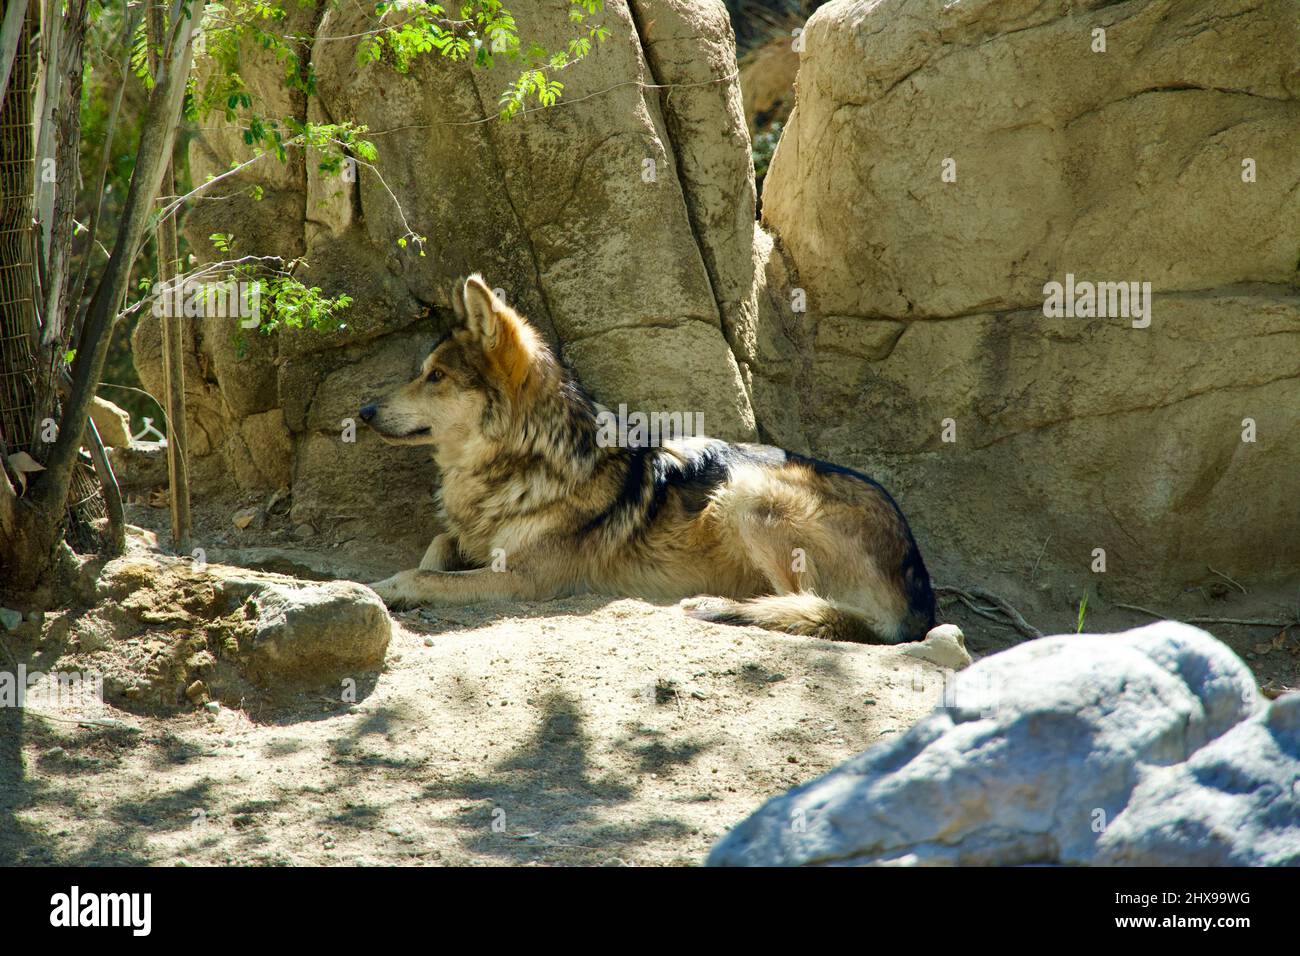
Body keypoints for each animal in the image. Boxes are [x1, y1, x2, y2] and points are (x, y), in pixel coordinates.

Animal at [359, 276, 936, 644]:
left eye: (435, 376)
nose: (363, 411)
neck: (523, 464)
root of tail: (921, 593)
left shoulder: (527, 580)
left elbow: (419, 577)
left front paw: (378, 588)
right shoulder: (474, 542)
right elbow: (437, 545)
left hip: (747, 494)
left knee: (822, 611)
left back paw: (723, 607)